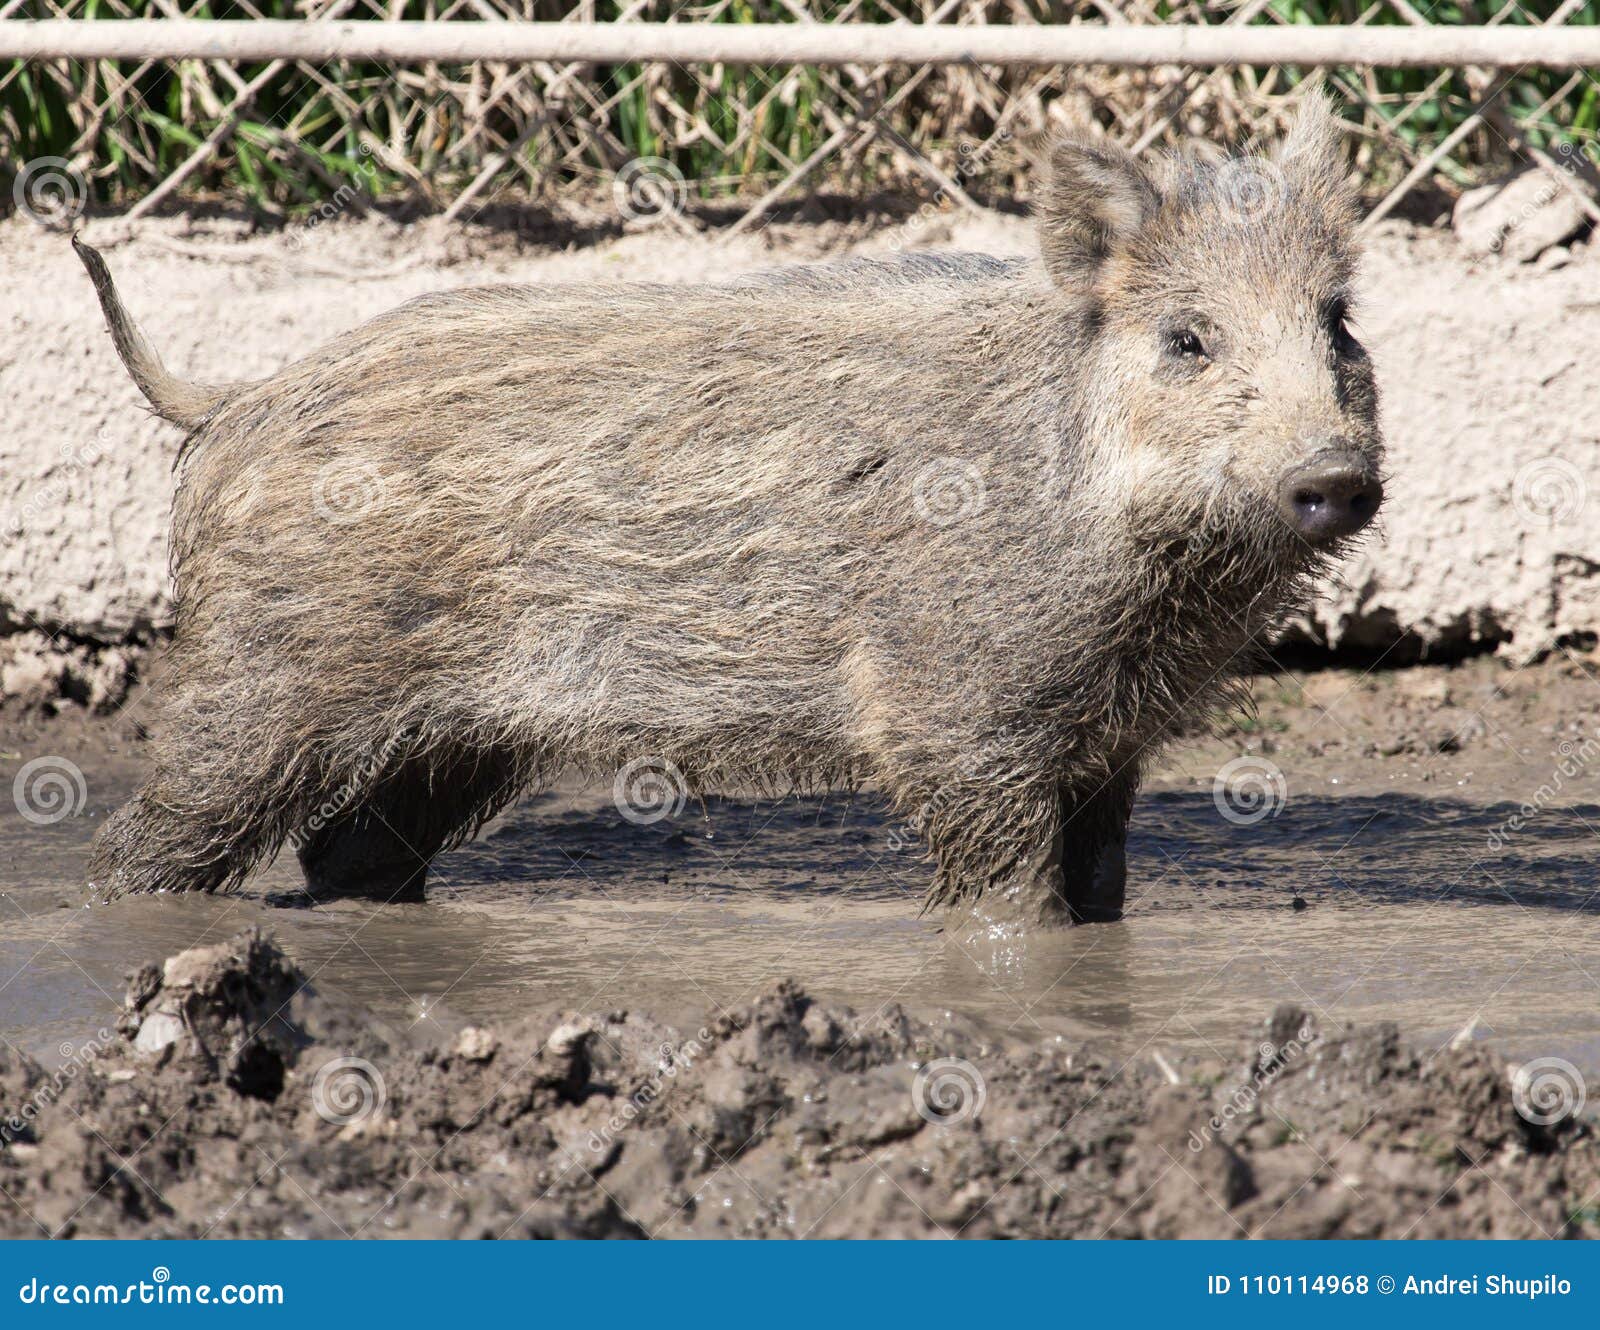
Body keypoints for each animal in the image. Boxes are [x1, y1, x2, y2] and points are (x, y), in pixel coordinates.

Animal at [75, 93, 1382, 924]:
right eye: (1188, 337)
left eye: (1337, 321)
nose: (1335, 476)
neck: (1159, 590)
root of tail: (240, 395)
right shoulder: (959, 713)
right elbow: (1012, 903)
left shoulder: (1110, 742)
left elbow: (1104, 893)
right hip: (269, 679)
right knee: (148, 843)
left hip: (464, 733)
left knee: (350, 854)